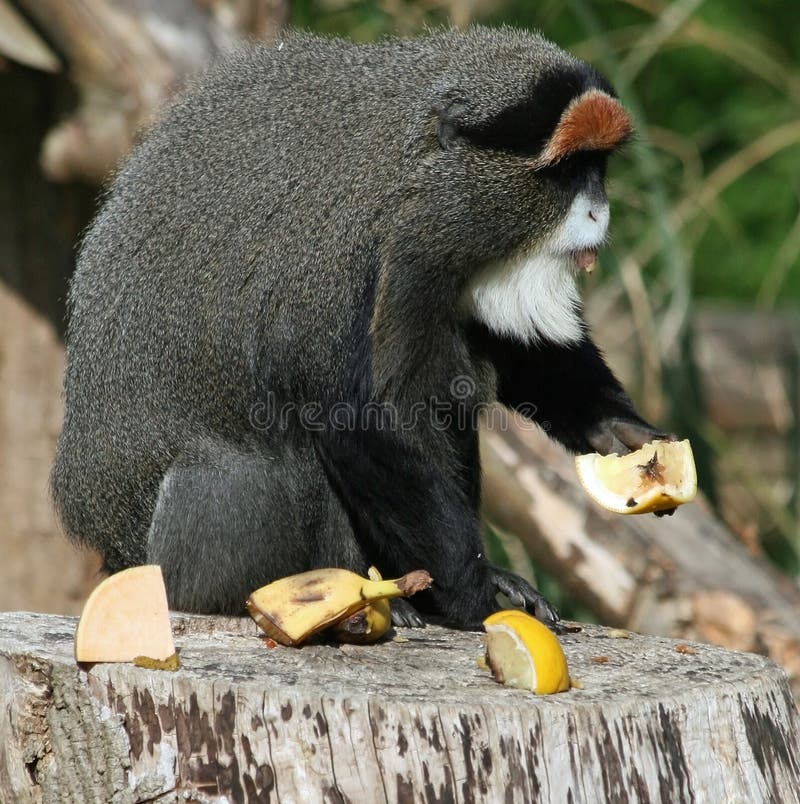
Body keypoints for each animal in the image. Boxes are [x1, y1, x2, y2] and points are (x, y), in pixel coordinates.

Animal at [51, 26, 671, 628]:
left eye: (597, 166)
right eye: (565, 171)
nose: (598, 212)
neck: (412, 176)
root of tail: (119, 553)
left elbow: (520, 356)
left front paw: (621, 431)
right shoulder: (344, 261)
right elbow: (356, 421)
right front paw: (478, 596)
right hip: (190, 554)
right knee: (273, 451)